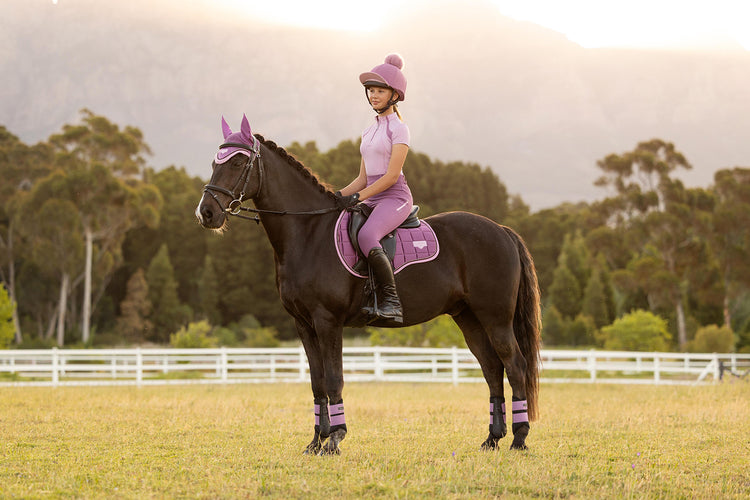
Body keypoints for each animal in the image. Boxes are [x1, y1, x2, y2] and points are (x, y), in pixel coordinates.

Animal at [196, 115, 541, 454]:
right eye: (214, 162)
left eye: (238, 162)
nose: (206, 213)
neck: (309, 233)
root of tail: (501, 229)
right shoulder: (303, 324)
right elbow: (317, 382)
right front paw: (315, 442)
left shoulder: (328, 321)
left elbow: (334, 379)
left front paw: (334, 440)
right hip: (468, 317)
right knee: (492, 368)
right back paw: (492, 439)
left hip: (495, 318)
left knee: (515, 365)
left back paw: (519, 439)